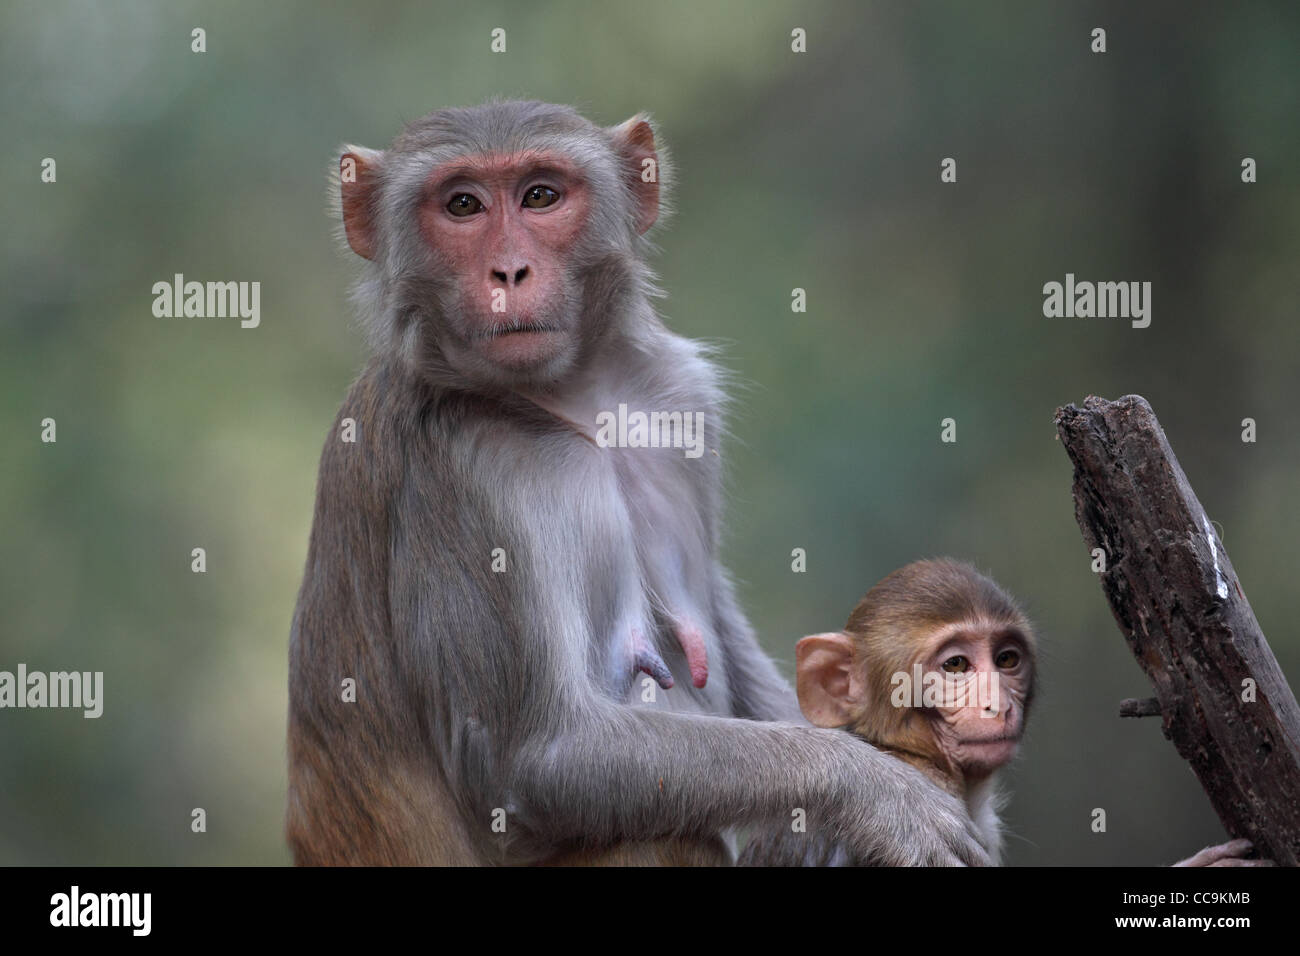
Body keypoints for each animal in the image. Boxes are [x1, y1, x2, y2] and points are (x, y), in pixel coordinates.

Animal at [286, 100, 988, 867]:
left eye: (540, 196)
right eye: (462, 205)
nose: (509, 270)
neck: (572, 402)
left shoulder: (680, 396)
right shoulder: (465, 473)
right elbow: (534, 757)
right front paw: (875, 794)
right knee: (658, 833)